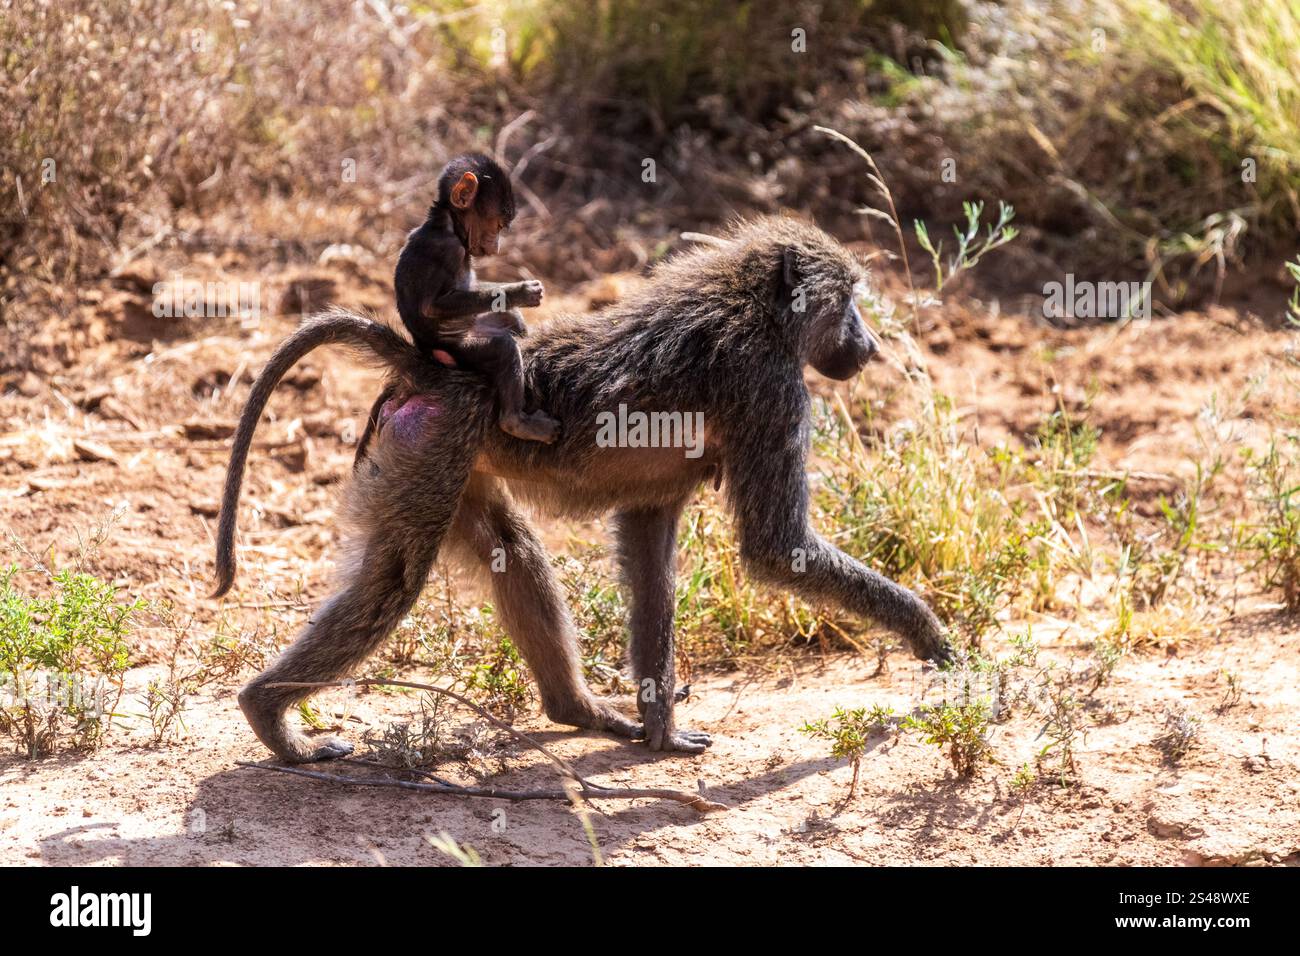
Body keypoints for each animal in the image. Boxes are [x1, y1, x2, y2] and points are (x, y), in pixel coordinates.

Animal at [213, 215, 953, 763]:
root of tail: (432, 367)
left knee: (509, 549)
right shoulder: (771, 387)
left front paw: (660, 729)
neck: (754, 306)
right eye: (850, 300)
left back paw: (579, 710)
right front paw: (929, 633)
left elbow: (650, 560)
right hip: (434, 446)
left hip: (448, 459)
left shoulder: (658, 495)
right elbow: (778, 547)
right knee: (394, 580)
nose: (870, 347)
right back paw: (270, 716)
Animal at [354, 152, 558, 467]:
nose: (496, 248)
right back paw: (518, 422)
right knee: (502, 348)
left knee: (506, 318)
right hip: (463, 351)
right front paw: (522, 292)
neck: (444, 223)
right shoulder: (447, 248)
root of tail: (428, 350)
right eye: (498, 225)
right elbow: (432, 306)